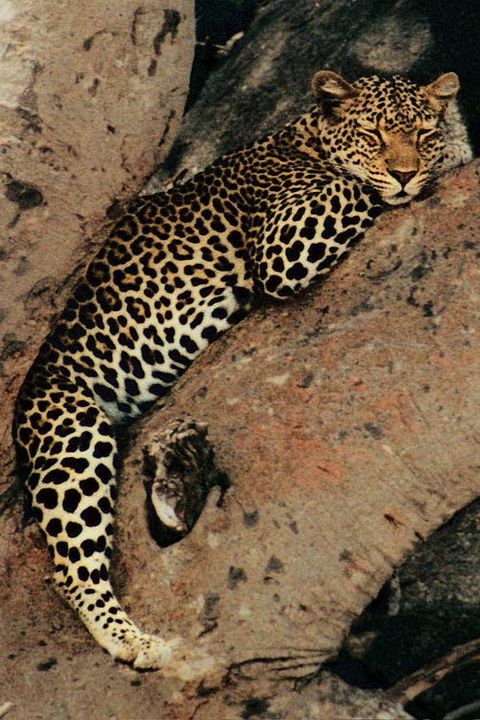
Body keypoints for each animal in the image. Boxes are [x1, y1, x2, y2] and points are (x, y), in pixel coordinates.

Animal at [13, 69, 472, 670]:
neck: (305, 138)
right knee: (71, 566)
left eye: (420, 133)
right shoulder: (284, 243)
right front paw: (454, 152)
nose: (405, 171)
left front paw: (450, 145)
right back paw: (133, 639)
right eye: (373, 135)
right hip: (69, 429)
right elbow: (357, 186)